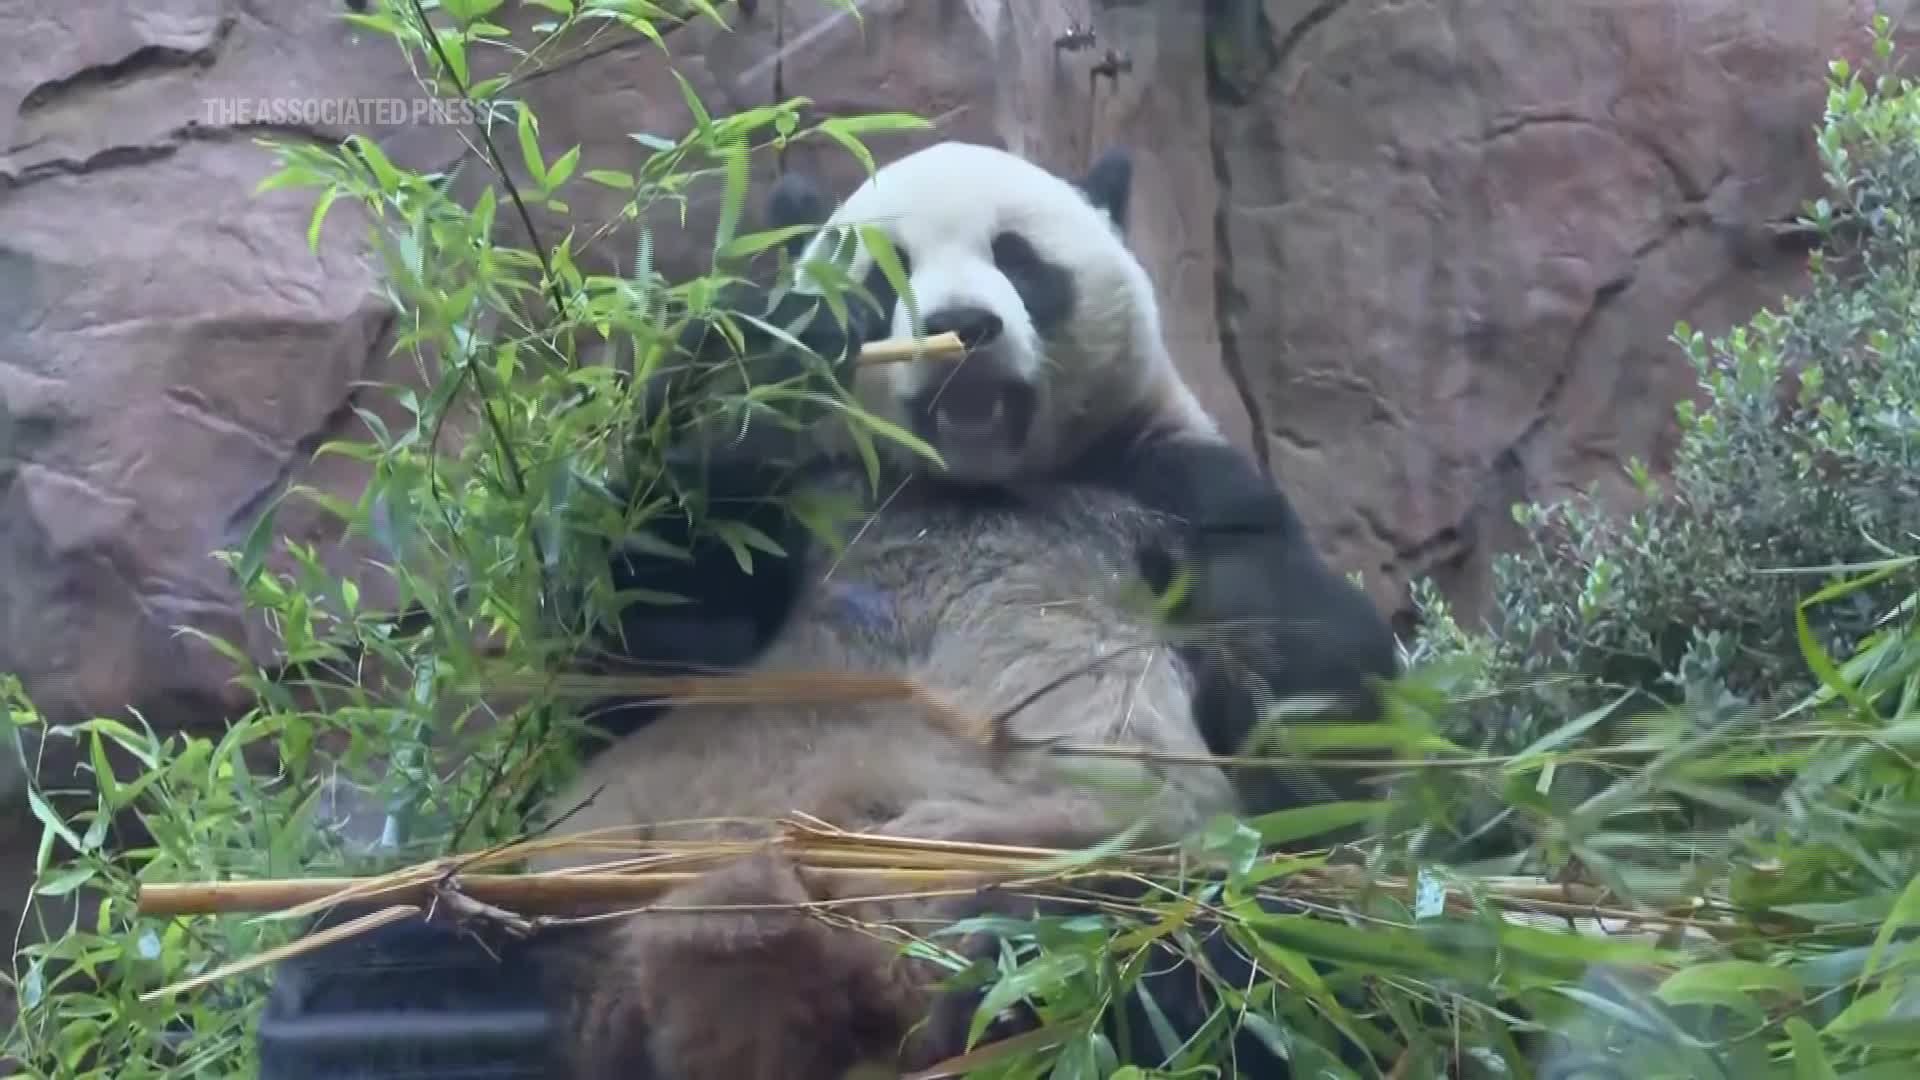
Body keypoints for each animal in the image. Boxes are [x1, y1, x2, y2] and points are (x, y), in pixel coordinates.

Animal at [254, 142, 1401, 1079]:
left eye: (1019, 256)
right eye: (881, 270)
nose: (962, 329)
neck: (956, 488)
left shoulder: (1162, 489)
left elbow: (1321, 701)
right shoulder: (794, 514)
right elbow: (633, 649)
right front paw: (759, 356)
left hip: (1061, 871)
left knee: (1221, 968)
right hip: (573, 893)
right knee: (383, 976)